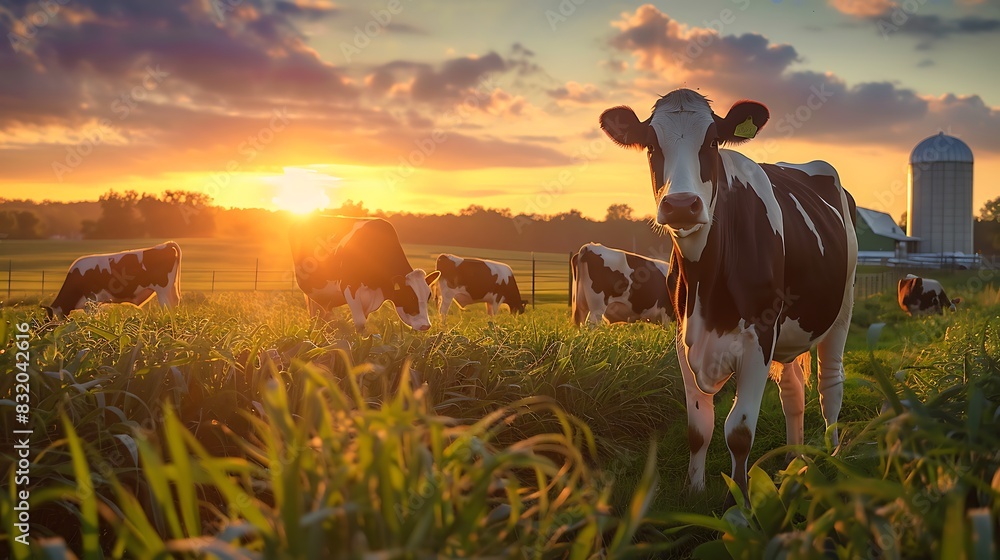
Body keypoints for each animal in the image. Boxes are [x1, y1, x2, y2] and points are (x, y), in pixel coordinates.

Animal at [45, 241, 182, 319]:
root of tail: (164, 245)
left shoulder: (91, 301)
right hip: (172, 288)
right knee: (175, 303)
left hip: (163, 289)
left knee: (167, 306)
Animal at [600, 88, 858, 504]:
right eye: (652, 145)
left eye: (711, 143)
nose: (681, 204)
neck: (706, 284)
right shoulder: (683, 337)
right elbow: (698, 427)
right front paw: (694, 488)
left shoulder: (759, 337)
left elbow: (738, 431)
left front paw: (739, 501)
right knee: (792, 392)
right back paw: (794, 461)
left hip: (841, 310)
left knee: (829, 387)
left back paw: (832, 456)